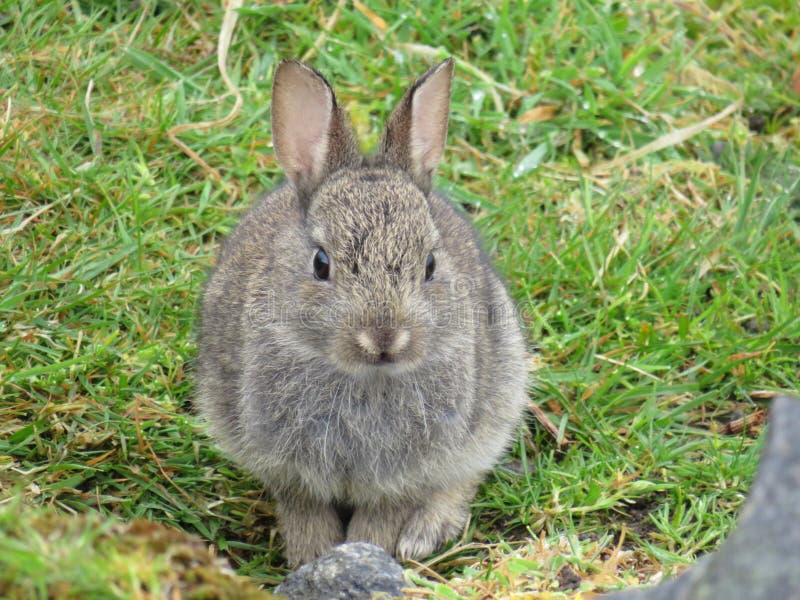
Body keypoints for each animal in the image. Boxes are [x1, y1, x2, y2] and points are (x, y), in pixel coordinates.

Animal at [195, 58, 530, 566]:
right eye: (321, 264)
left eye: (430, 265)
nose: (385, 338)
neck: (367, 376)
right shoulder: (285, 463)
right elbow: (305, 512)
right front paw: (313, 560)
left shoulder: (407, 472)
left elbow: (382, 518)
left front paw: (367, 552)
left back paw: (424, 534)